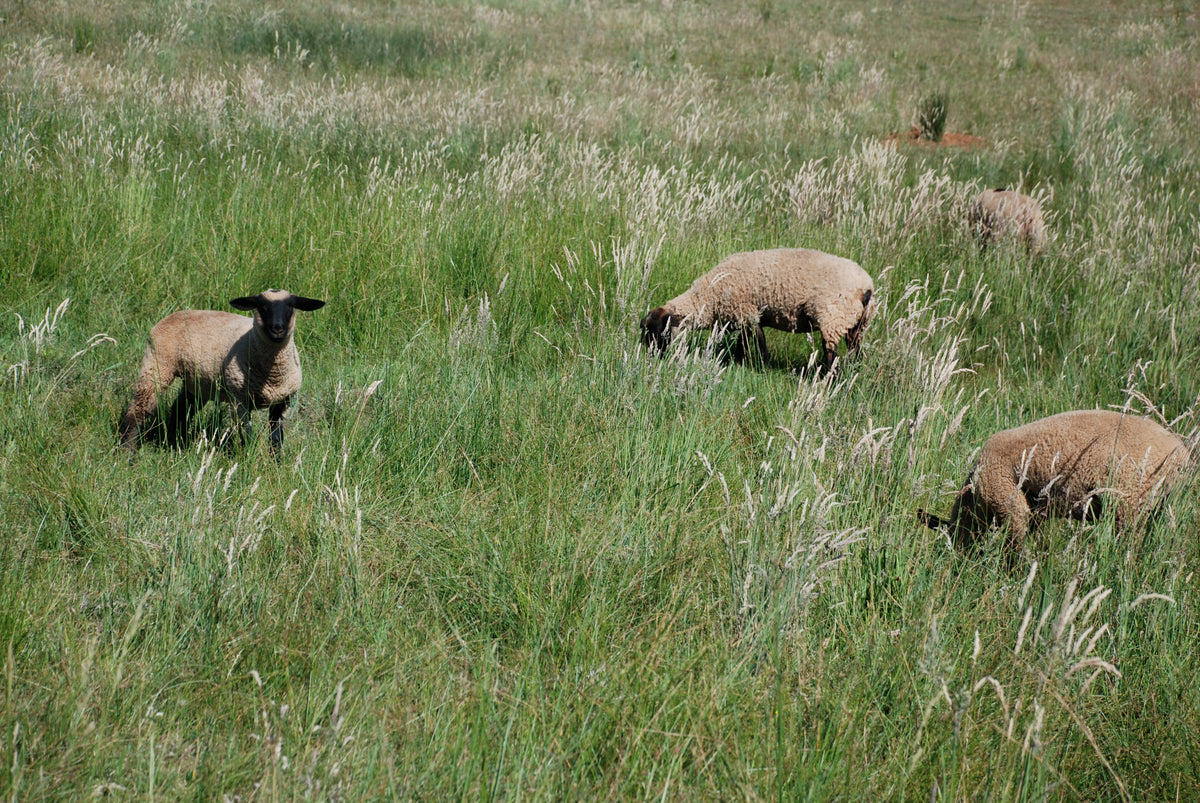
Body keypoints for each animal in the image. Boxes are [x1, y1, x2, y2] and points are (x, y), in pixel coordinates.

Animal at [120, 289, 326, 456]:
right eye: (262, 306)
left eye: (291, 306)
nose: (277, 329)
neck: (272, 374)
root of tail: (174, 314)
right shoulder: (240, 400)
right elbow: (247, 435)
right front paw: (248, 460)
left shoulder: (282, 402)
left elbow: (276, 439)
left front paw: (276, 464)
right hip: (157, 365)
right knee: (138, 409)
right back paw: (127, 453)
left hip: (197, 382)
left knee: (181, 409)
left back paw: (175, 442)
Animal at [640, 248, 875, 372]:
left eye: (657, 333)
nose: (650, 358)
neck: (707, 296)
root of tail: (866, 286)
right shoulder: (745, 317)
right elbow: (744, 343)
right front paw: (740, 364)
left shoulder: (746, 312)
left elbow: (757, 344)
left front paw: (762, 367)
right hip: (857, 324)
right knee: (855, 351)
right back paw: (854, 371)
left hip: (833, 318)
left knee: (831, 356)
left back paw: (827, 381)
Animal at [919, 410, 1189, 558]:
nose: (958, 560)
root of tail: (1181, 452)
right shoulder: (1035, 509)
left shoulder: (1009, 501)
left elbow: (1014, 548)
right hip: (1157, 507)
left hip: (1130, 502)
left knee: (1129, 547)